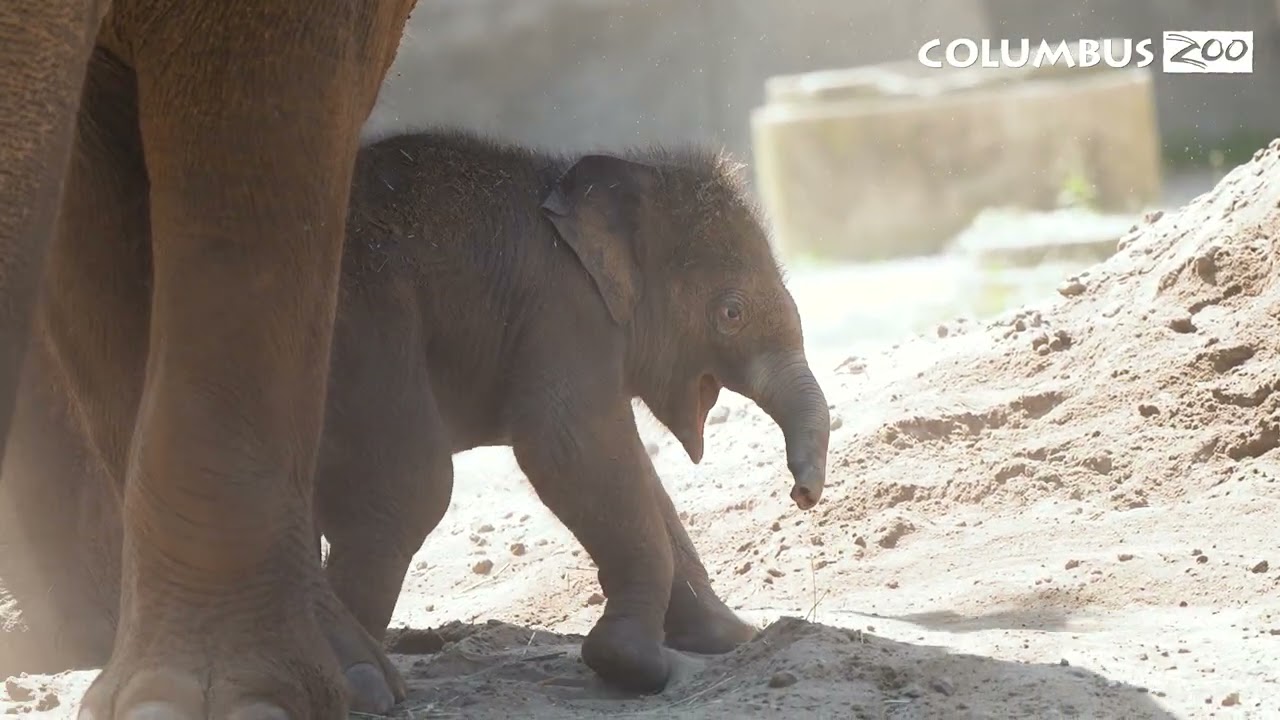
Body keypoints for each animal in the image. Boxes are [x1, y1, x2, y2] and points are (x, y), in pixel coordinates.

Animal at [313, 128, 832, 693]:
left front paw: (733, 636)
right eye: (731, 313)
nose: (802, 493)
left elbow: (634, 469)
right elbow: (571, 448)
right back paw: (363, 681)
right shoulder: (564, 309)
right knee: (410, 488)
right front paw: (634, 664)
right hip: (366, 325)